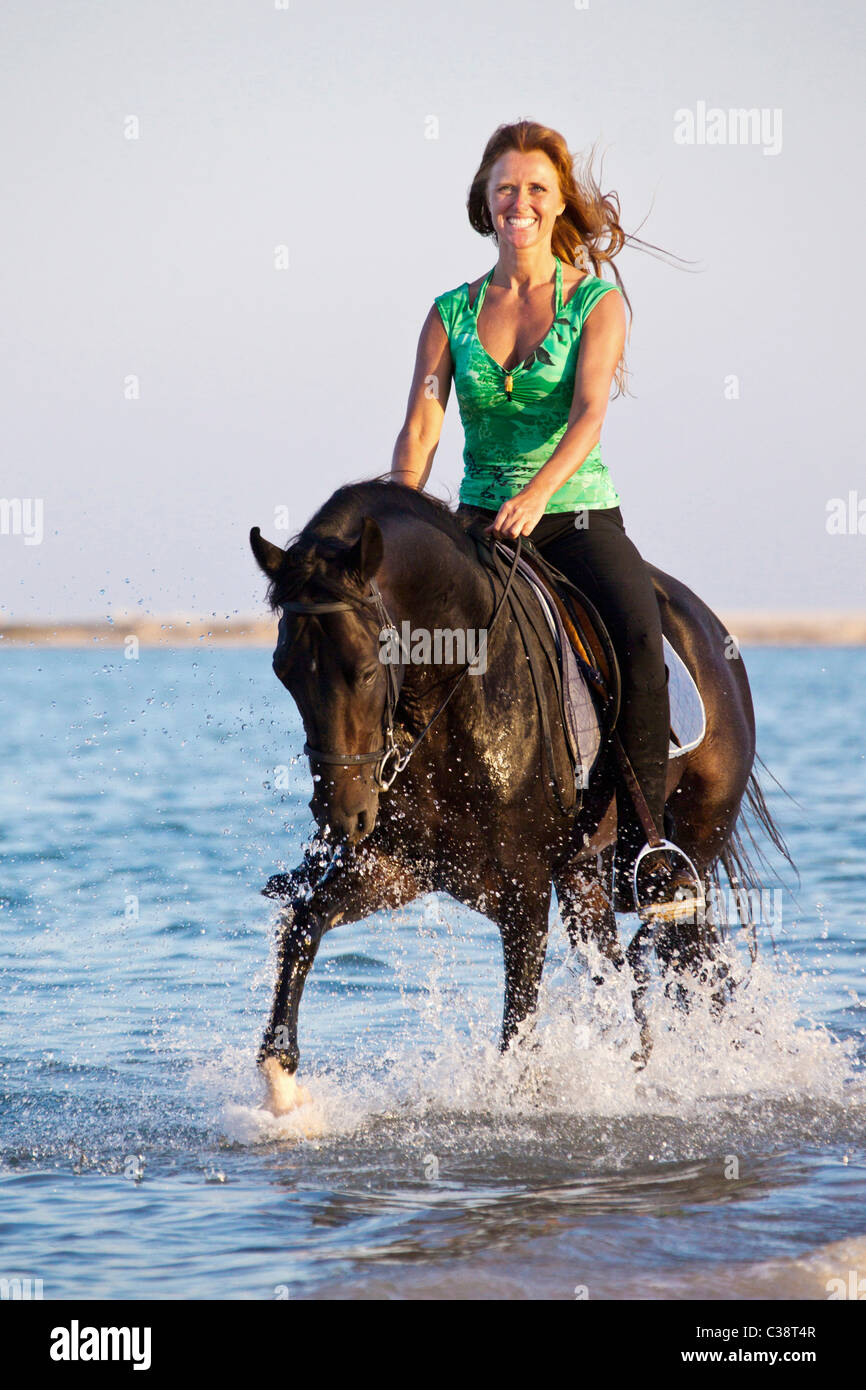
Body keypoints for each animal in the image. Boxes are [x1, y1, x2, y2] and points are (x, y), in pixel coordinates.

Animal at [249, 480, 791, 1115]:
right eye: (283, 671)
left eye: (364, 670)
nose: (342, 815)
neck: (457, 687)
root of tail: (709, 628)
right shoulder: (395, 865)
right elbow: (303, 925)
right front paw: (281, 1084)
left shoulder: (523, 891)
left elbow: (519, 1026)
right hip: (584, 876)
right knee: (639, 975)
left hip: (692, 849)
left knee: (680, 956)